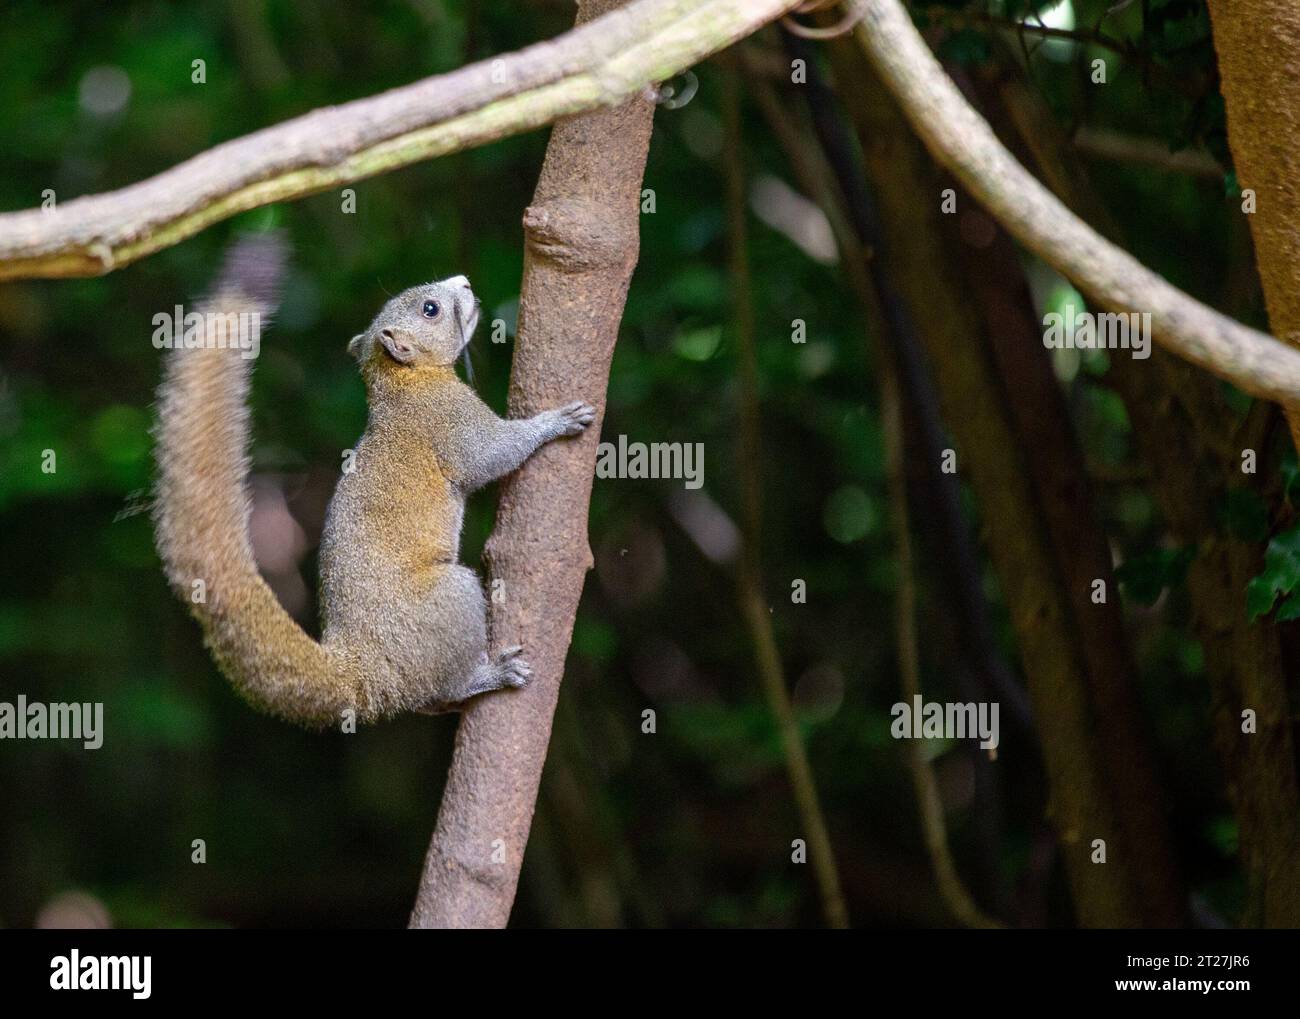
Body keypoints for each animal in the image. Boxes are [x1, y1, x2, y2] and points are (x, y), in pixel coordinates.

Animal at [153, 233, 595, 725]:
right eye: (429, 309)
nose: (463, 281)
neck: (402, 381)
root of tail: (363, 674)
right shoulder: (451, 422)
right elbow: (495, 454)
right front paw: (557, 421)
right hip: (451, 596)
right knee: (441, 687)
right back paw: (490, 675)